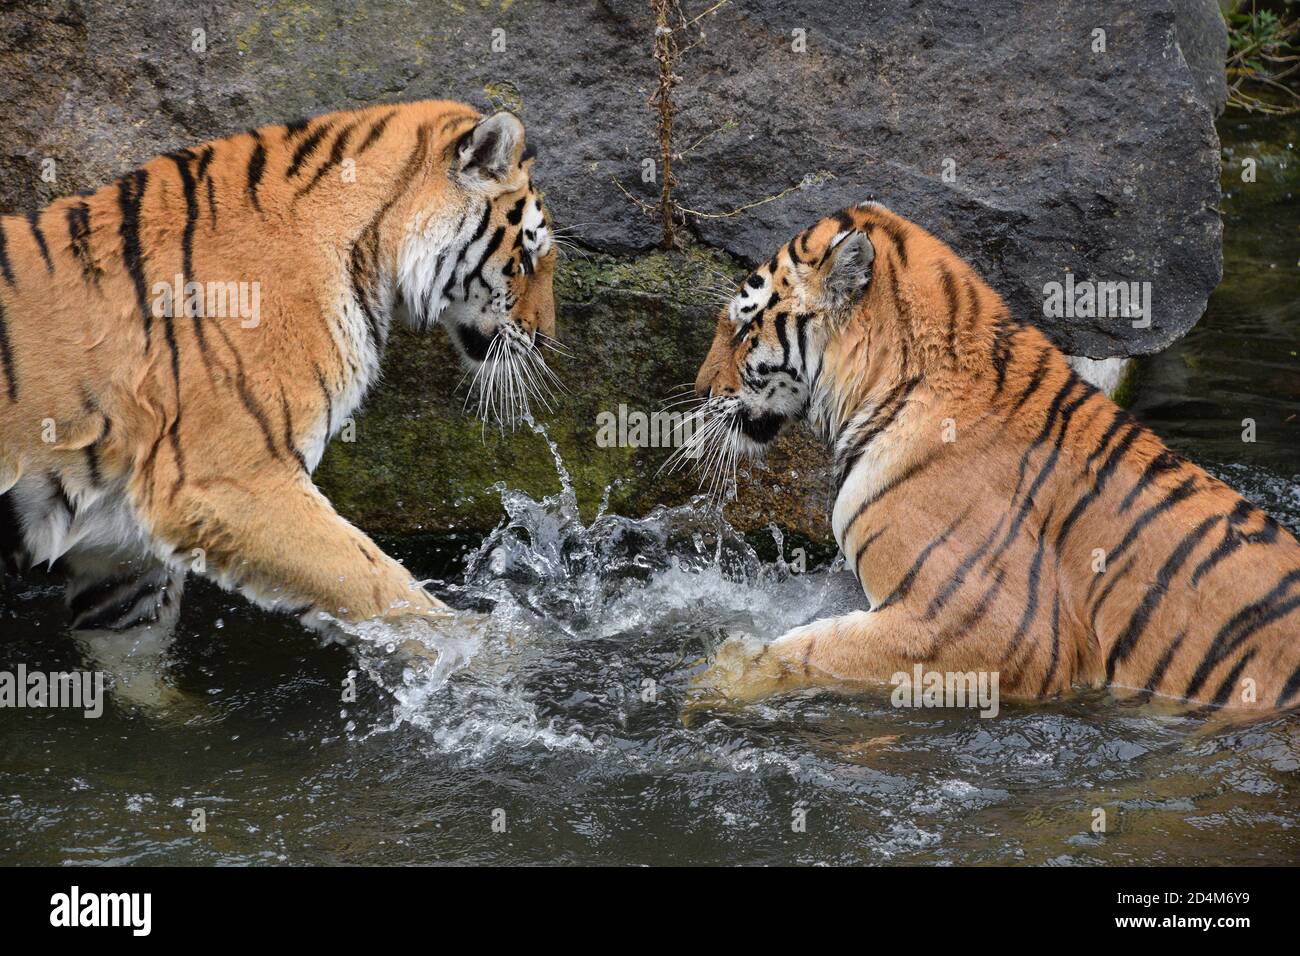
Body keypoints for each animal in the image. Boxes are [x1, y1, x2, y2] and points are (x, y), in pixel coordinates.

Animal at [0, 100, 557, 647]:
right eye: (527, 260)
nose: (545, 339)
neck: (372, 249)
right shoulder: (228, 482)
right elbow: (379, 585)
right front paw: (484, 649)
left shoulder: (121, 558)